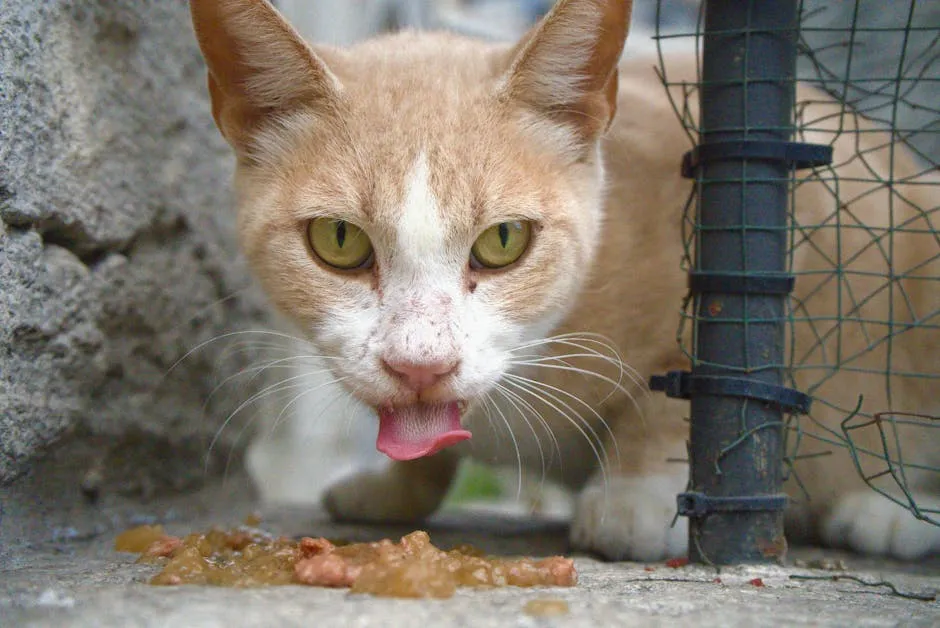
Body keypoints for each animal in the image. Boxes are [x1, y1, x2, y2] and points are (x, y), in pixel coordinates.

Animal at [187, 0, 936, 560]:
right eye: (338, 241)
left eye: (503, 241)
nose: (422, 364)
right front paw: (397, 484)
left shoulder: (773, 206)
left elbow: (699, 377)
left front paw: (637, 496)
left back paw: (890, 510)